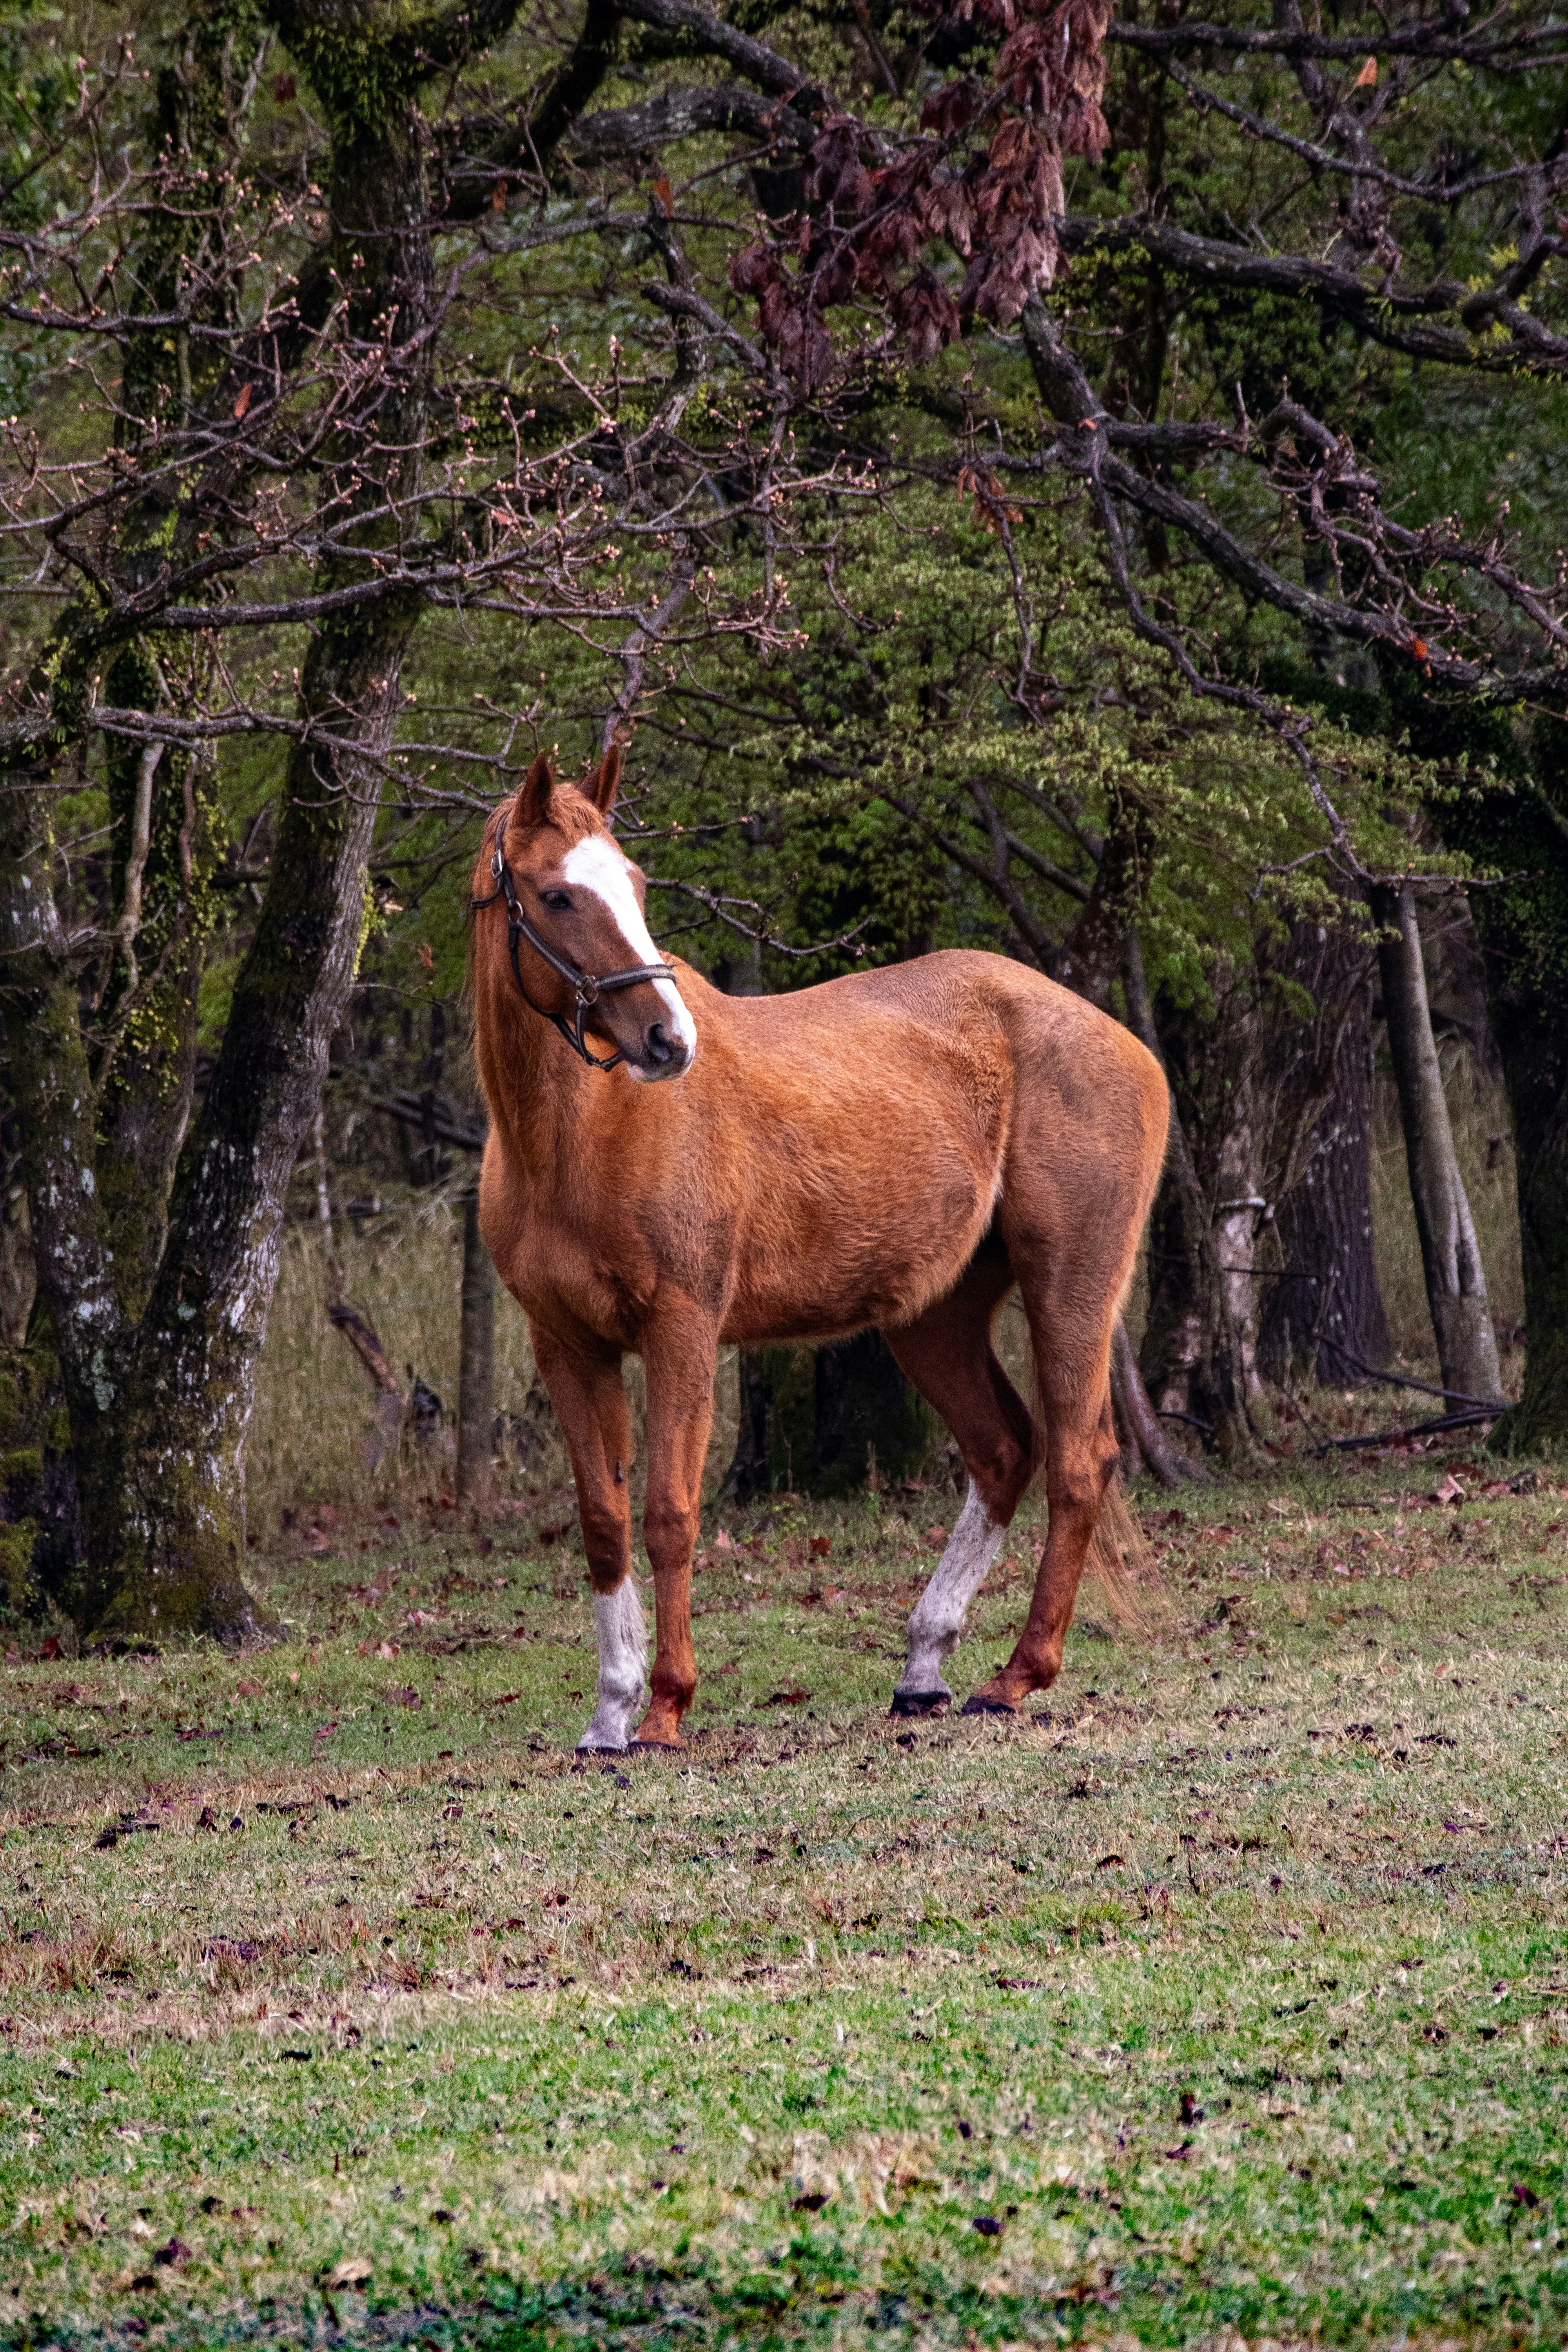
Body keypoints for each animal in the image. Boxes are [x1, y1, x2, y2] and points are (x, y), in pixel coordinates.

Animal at [471, 746, 1169, 1752]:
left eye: (634, 884)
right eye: (558, 895)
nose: (665, 1040)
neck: (582, 1135)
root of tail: (1115, 1038)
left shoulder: (682, 1330)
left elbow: (669, 1514)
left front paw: (665, 1708)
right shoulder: (567, 1346)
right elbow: (604, 1523)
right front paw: (608, 1713)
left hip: (1069, 1288)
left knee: (1078, 1463)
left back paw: (1014, 1676)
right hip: (931, 1316)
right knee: (1004, 1450)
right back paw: (924, 1665)